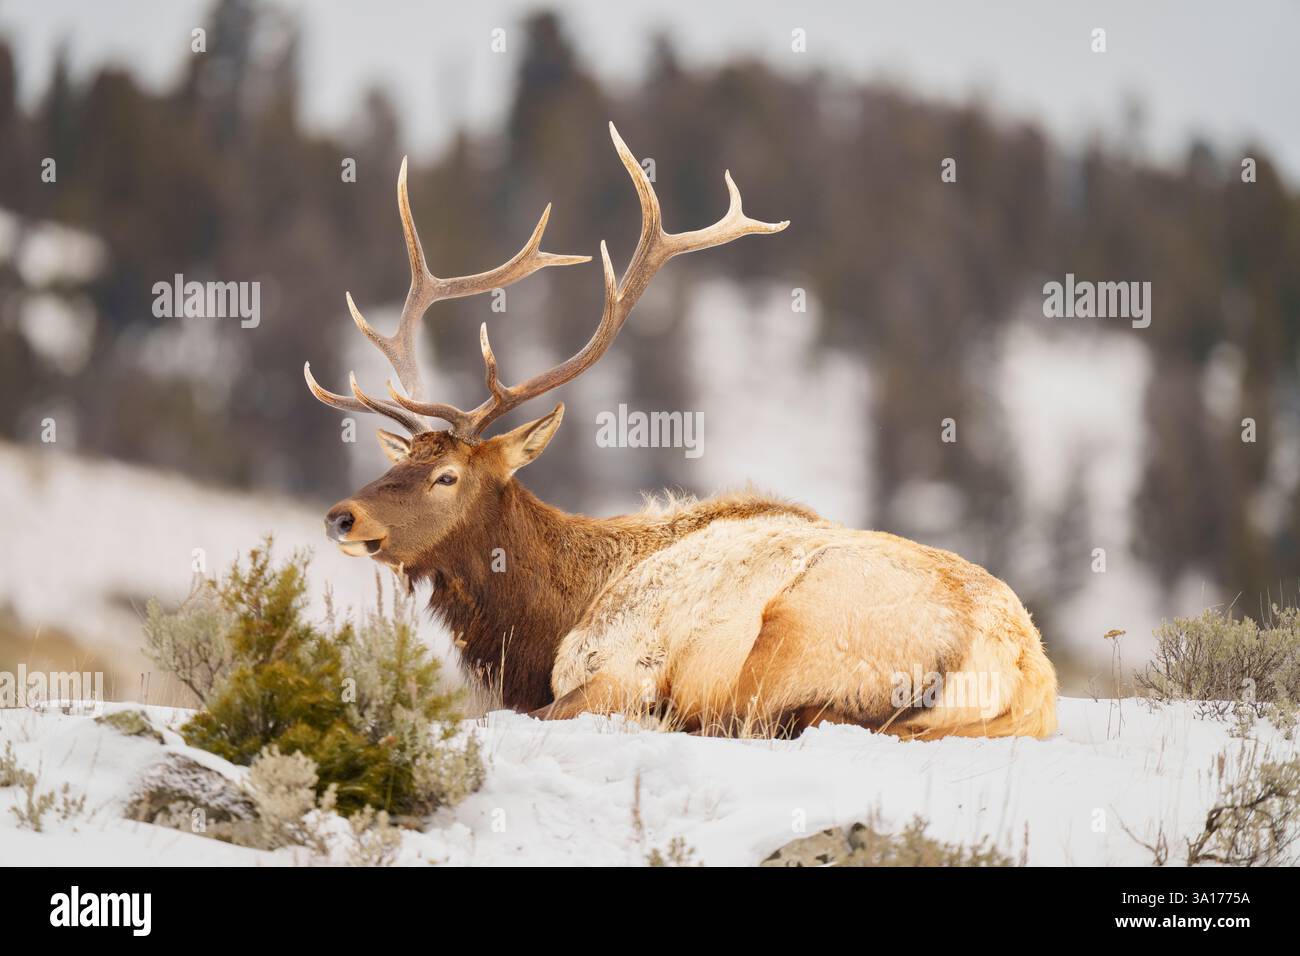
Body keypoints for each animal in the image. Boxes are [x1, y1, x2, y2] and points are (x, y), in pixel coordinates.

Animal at [303, 123, 1058, 740]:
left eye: (447, 475)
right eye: (400, 458)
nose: (342, 516)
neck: (548, 620)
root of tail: (1019, 668)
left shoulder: (615, 667)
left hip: (794, 637)